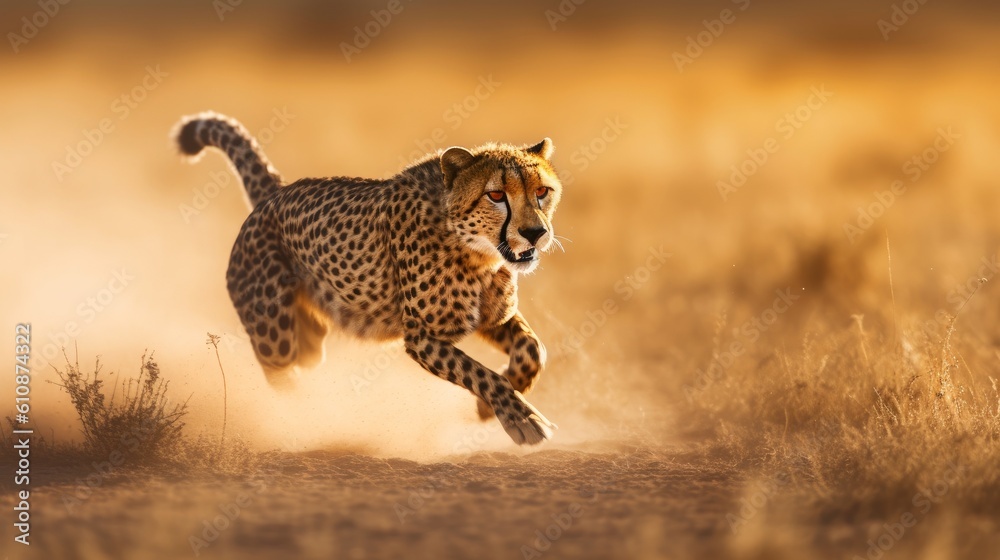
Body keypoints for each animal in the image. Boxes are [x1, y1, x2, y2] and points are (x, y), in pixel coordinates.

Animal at [173, 111, 564, 445]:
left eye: (541, 191)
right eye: (496, 195)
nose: (534, 233)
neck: (480, 254)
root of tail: (276, 194)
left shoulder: (493, 318)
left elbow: (534, 350)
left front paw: (490, 407)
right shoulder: (422, 337)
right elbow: (482, 374)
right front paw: (521, 418)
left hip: (310, 340)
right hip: (275, 335)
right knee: (280, 375)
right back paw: (299, 421)